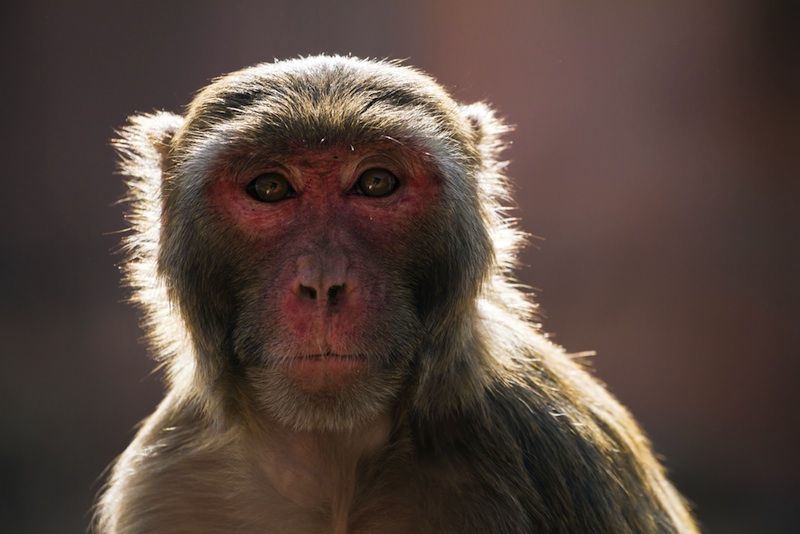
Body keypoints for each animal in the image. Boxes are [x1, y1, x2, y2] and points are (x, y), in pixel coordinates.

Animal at [94, 55, 698, 533]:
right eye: (270, 187)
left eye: (376, 182)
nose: (323, 282)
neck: (335, 468)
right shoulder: (166, 480)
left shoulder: (557, 447)